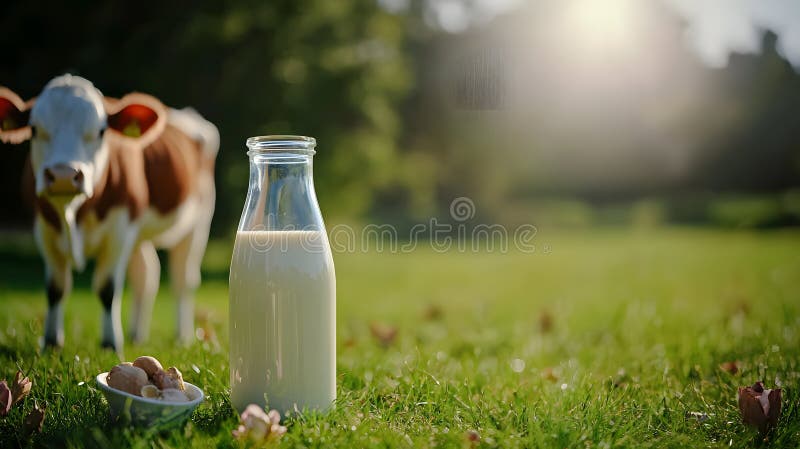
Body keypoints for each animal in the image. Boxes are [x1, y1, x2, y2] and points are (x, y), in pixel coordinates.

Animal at [0, 75, 218, 354]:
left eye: (101, 131)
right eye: (34, 129)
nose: (63, 175)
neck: (75, 213)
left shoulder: (120, 229)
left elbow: (107, 288)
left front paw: (110, 343)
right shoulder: (43, 229)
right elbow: (55, 288)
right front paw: (51, 342)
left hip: (198, 222)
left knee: (183, 280)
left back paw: (183, 336)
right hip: (140, 236)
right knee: (146, 274)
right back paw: (137, 335)